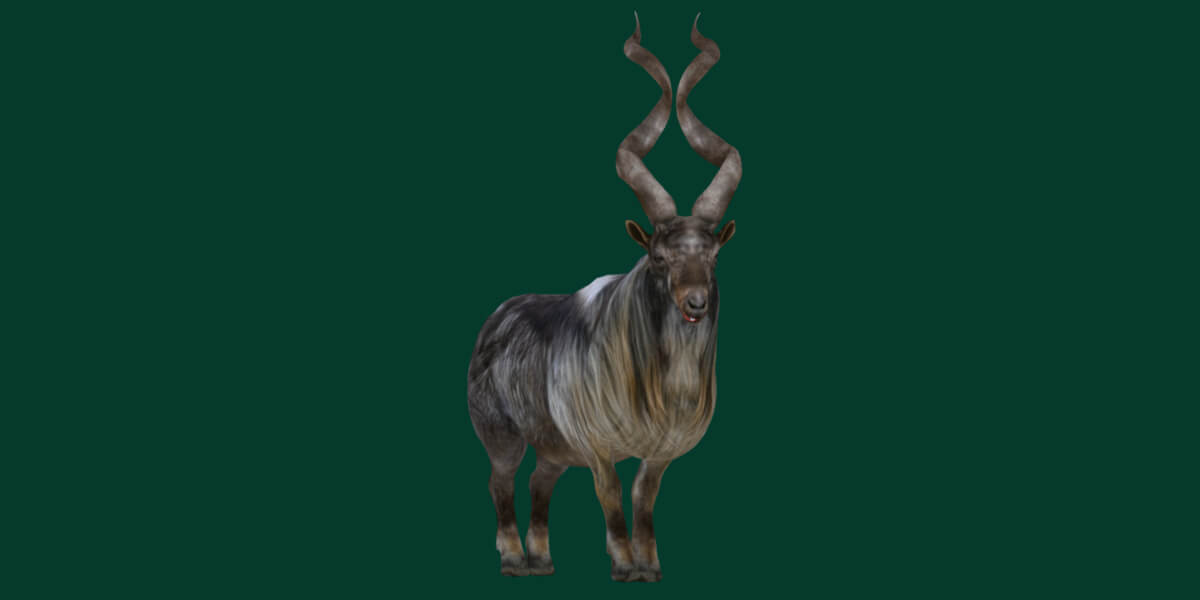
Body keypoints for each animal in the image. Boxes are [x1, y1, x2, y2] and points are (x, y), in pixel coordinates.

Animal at [467, 15, 741, 582]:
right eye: (657, 256)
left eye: (713, 256)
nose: (696, 304)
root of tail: (495, 319)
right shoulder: (596, 445)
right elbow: (612, 495)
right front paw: (624, 565)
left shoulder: (658, 452)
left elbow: (643, 497)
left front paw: (650, 565)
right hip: (502, 434)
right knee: (502, 480)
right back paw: (513, 558)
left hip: (552, 447)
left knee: (540, 481)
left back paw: (543, 560)